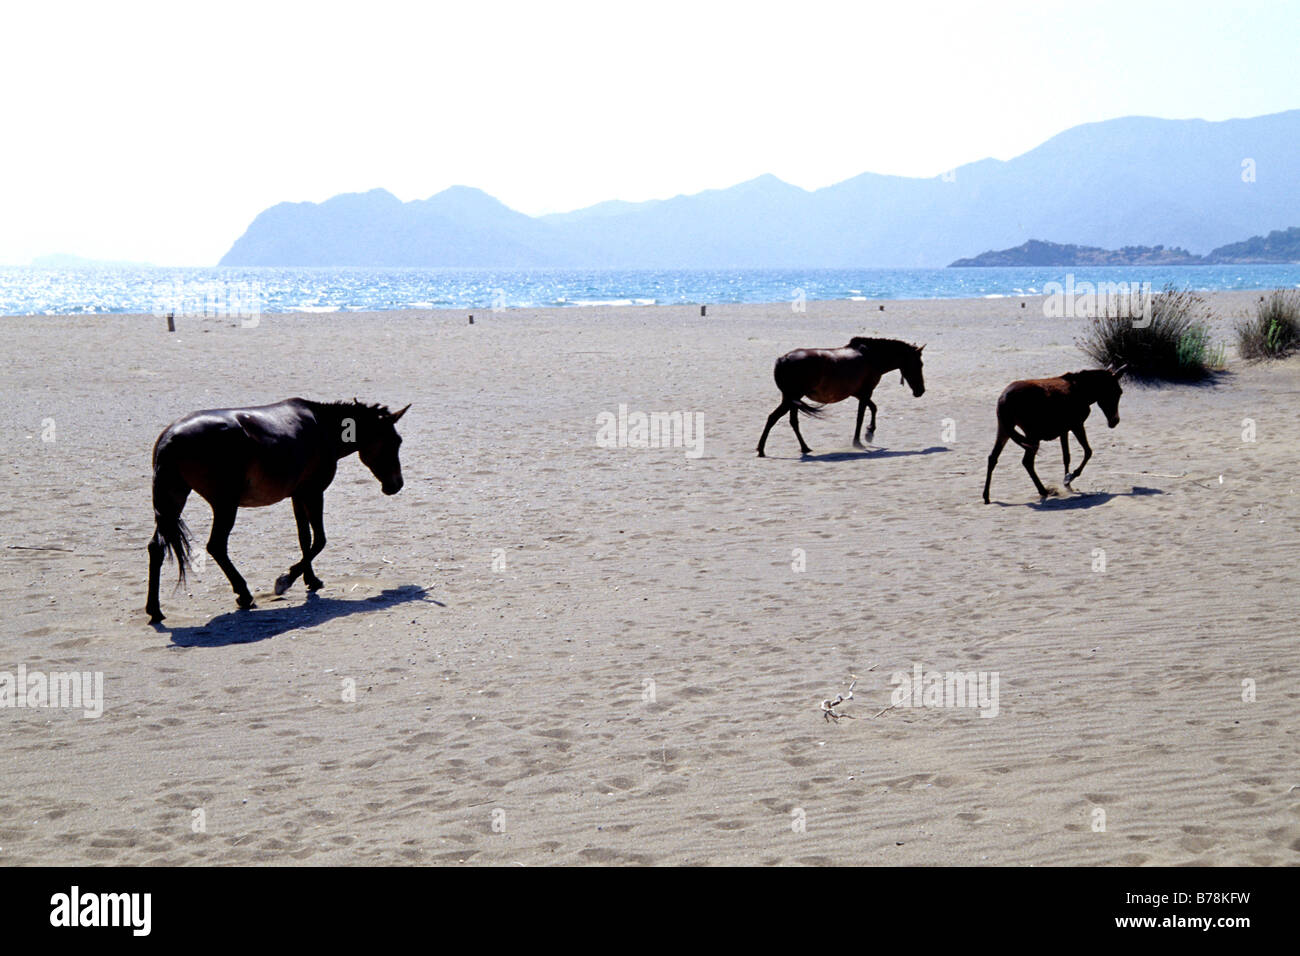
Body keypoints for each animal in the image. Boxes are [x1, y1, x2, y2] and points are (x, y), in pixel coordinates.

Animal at [145, 398, 409, 623]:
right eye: (395, 441)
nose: (396, 485)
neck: (321, 427)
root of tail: (170, 438)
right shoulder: (313, 492)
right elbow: (320, 540)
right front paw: (285, 580)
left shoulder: (298, 495)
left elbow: (305, 539)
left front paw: (311, 579)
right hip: (224, 504)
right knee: (217, 546)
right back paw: (244, 594)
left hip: (174, 499)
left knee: (156, 548)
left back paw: (155, 610)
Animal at [756, 337, 926, 456]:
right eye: (919, 364)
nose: (921, 391)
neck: (871, 356)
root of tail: (783, 359)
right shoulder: (865, 392)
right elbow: (861, 416)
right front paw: (860, 440)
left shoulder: (859, 393)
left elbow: (873, 408)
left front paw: (869, 432)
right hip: (793, 398)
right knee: (775, 418)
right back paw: (764, 449)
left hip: (792, 399)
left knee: (788, 421)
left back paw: (799, 448)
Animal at [982, 366, 1125, 503]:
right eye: (1117, 392)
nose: (1115, 421)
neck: (1079, 389)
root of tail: (1003, 398)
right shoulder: (1077, 425)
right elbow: (1088, 452)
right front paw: (1070, 477)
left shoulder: (1064, 430)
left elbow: (1066, 456)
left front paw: (1068, 483)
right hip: (1031, 436)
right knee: (1027, 462)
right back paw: (1043, 490)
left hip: (1005, 430)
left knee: (993, 458)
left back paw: (986, 496)